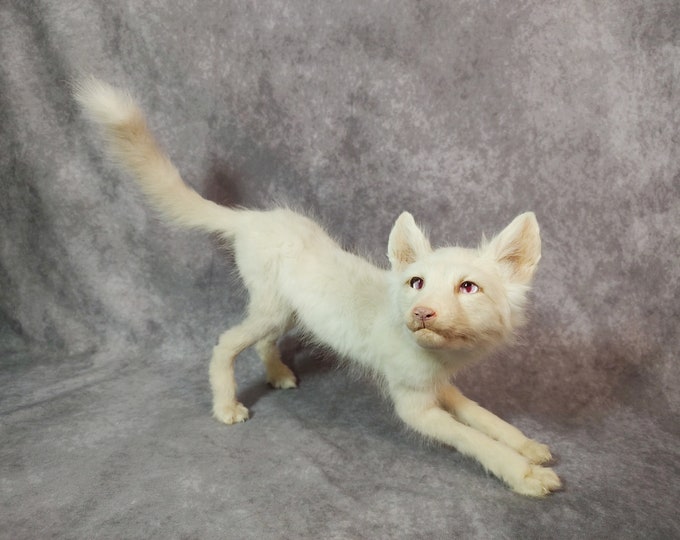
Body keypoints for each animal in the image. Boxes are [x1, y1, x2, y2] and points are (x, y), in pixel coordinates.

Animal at [74, 77, 561, 496]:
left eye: (468, 288)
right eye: (416, 283)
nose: (421, 313)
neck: (439, 359)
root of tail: (253, 219)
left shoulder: (441, 387)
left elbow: (486, 419)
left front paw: (529, 446)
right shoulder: (416, 407)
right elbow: (476, 441)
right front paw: (523, 474)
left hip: (286, 312)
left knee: (262, 342)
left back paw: (277, 374)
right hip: (270, 310)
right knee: (225, 343)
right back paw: (226, 406)